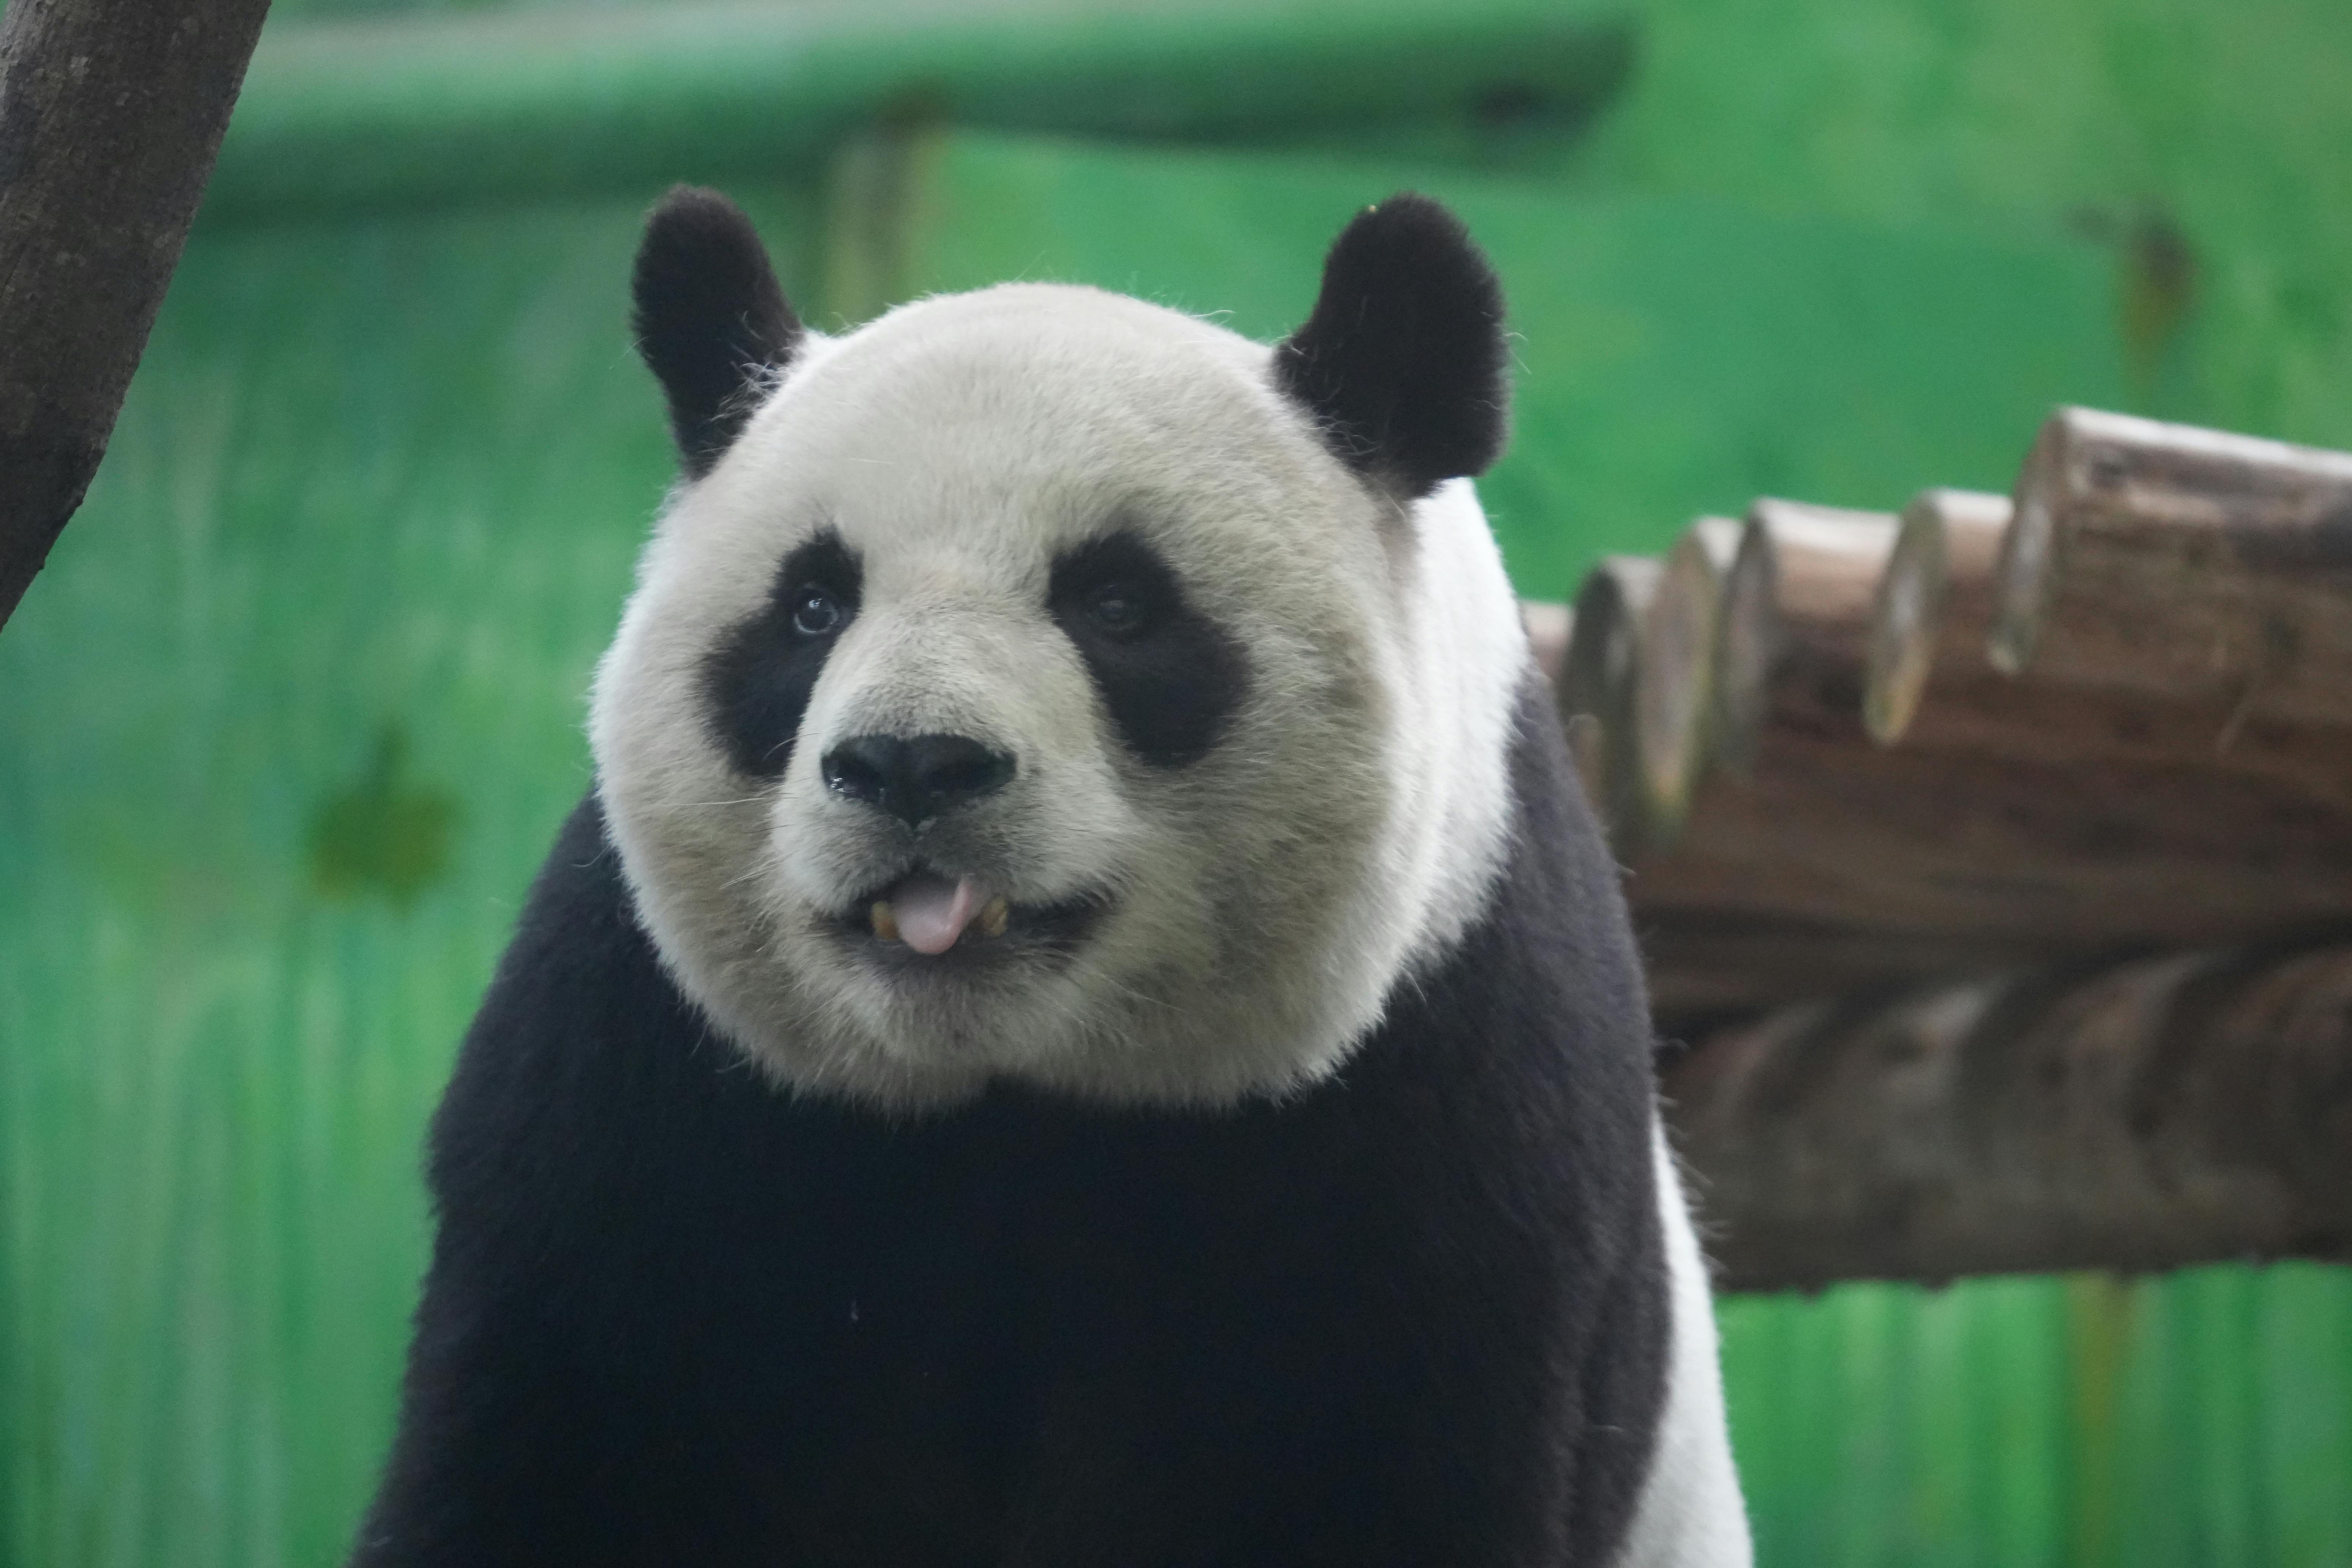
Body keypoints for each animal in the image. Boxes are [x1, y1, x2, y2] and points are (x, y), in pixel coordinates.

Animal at [349, 185, 1751, 1567]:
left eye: (1118, 603)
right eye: (812, 607)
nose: (912, 764)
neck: (1012, 1092)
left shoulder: (1438, 1102)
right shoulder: (652, 1097)